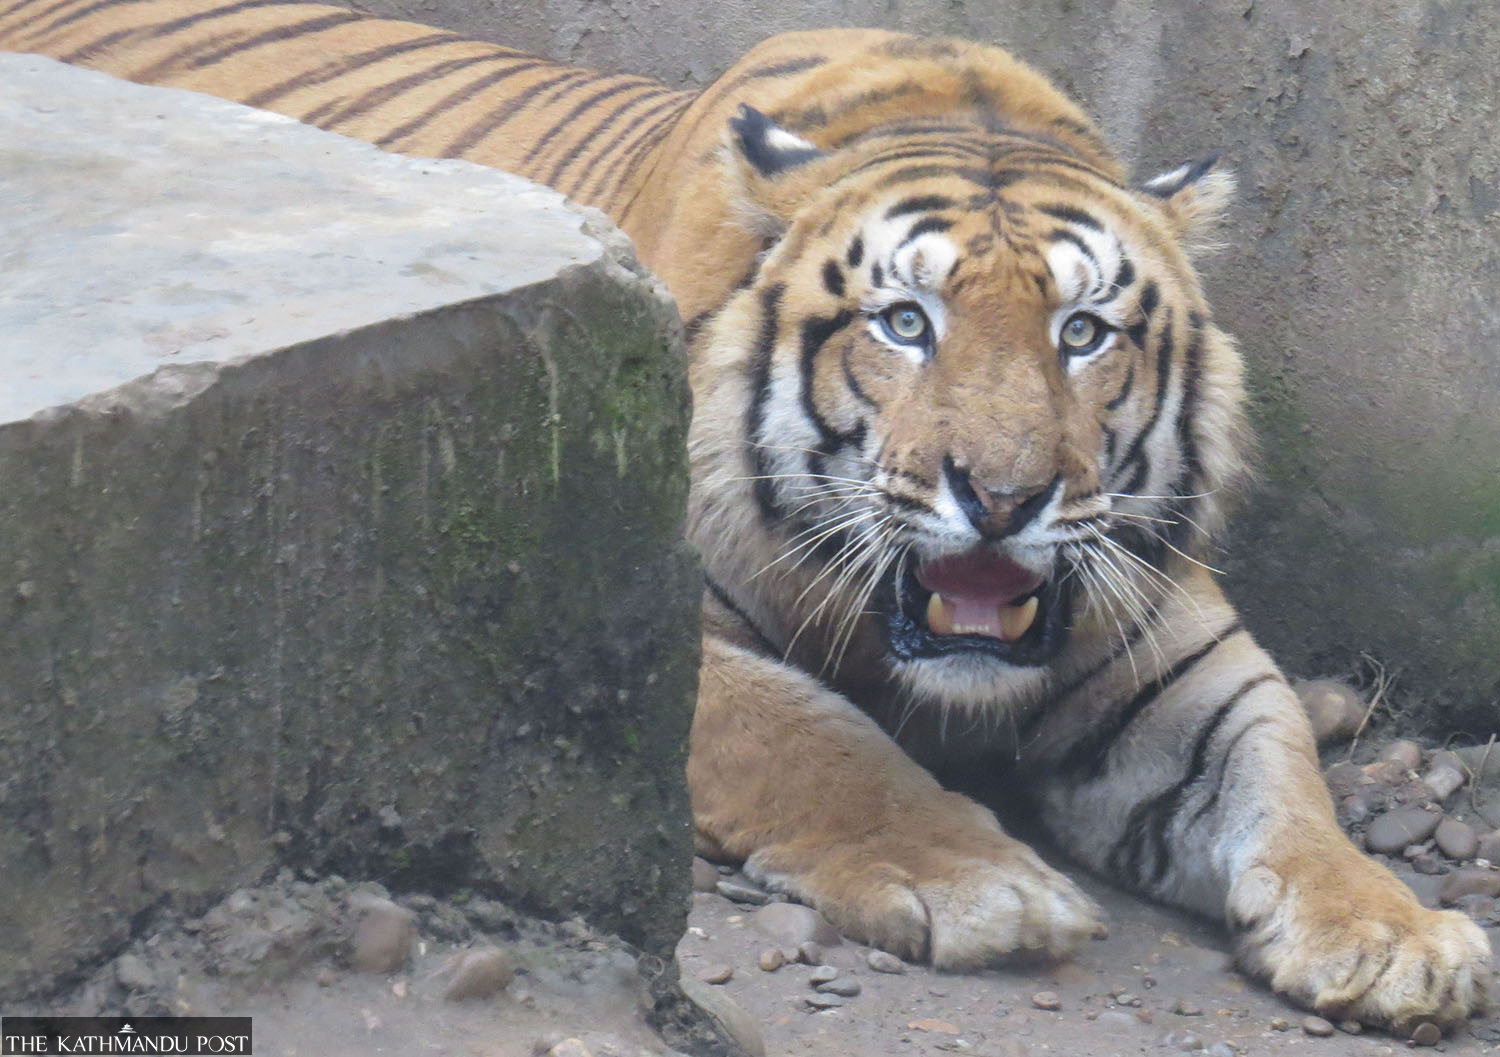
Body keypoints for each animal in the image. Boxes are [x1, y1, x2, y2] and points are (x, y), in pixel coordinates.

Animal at [1, 0, 1488, 1034]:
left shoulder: (1177, 653)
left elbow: (1285, 784)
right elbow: (820, 741)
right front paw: (979, 880)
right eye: (907, 321)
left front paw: (1399, 934)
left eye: (1081, 333)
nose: (1005, 494)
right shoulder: (652, 620)